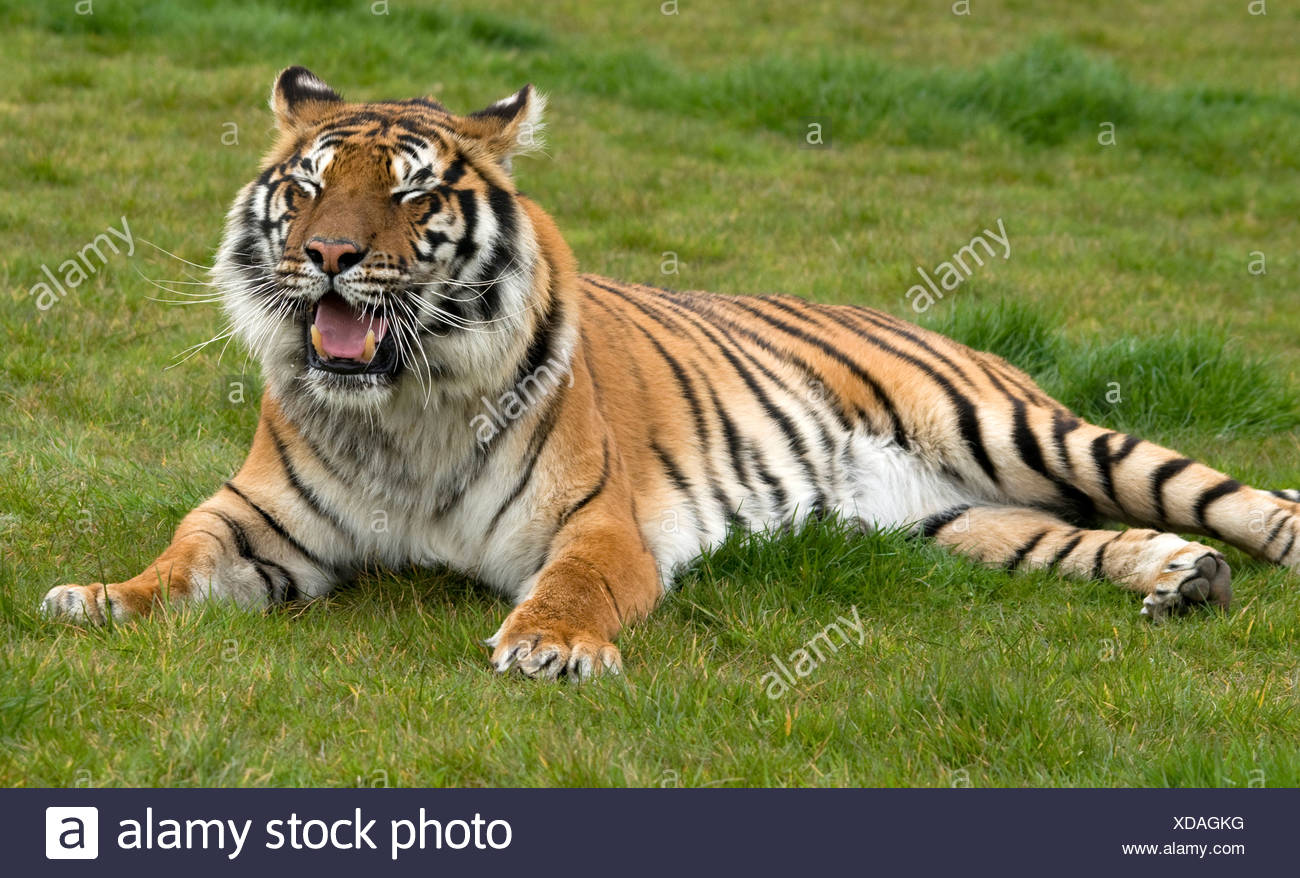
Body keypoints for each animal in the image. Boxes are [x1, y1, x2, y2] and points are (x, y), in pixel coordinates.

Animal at [41, 67, 1300, 680]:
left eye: (410, 192)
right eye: (305, 187)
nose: (329, 256)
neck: (402, 406)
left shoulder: (602, 520)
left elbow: (574, 586)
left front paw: (550, 648)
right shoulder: (260, 516)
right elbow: (179, 558)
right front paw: (98, 596)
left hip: (1021, 429)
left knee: (1220, 492)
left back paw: (1236, 548)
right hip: (957, 519)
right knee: (1082, 535)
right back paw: (1180, 578)